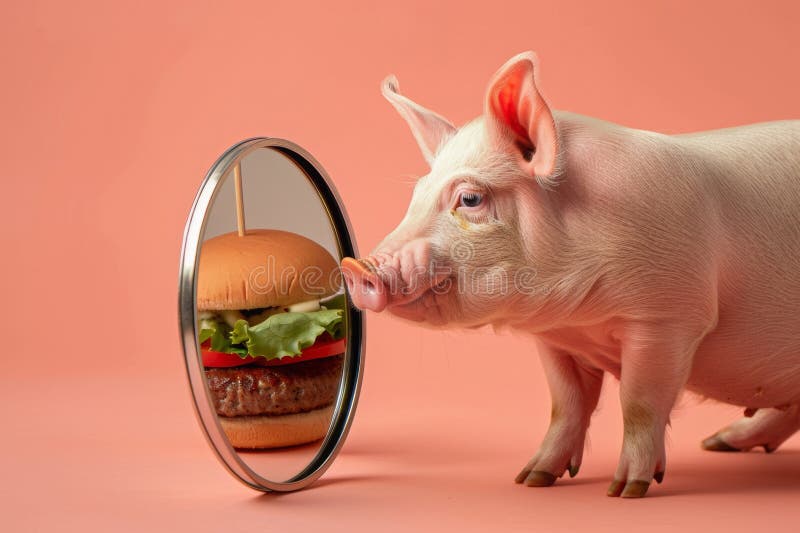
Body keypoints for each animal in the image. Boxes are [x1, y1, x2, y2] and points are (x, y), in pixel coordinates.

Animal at [340, 51, 800, 498]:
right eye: (416, 194)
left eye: (470, 199)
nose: (355, 267)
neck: (584, 318)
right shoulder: (557, 337)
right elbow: (566, 405)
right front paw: (532, 479)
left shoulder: (669, 317)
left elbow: (640, 403)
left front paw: (625, 490)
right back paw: (719, 443)